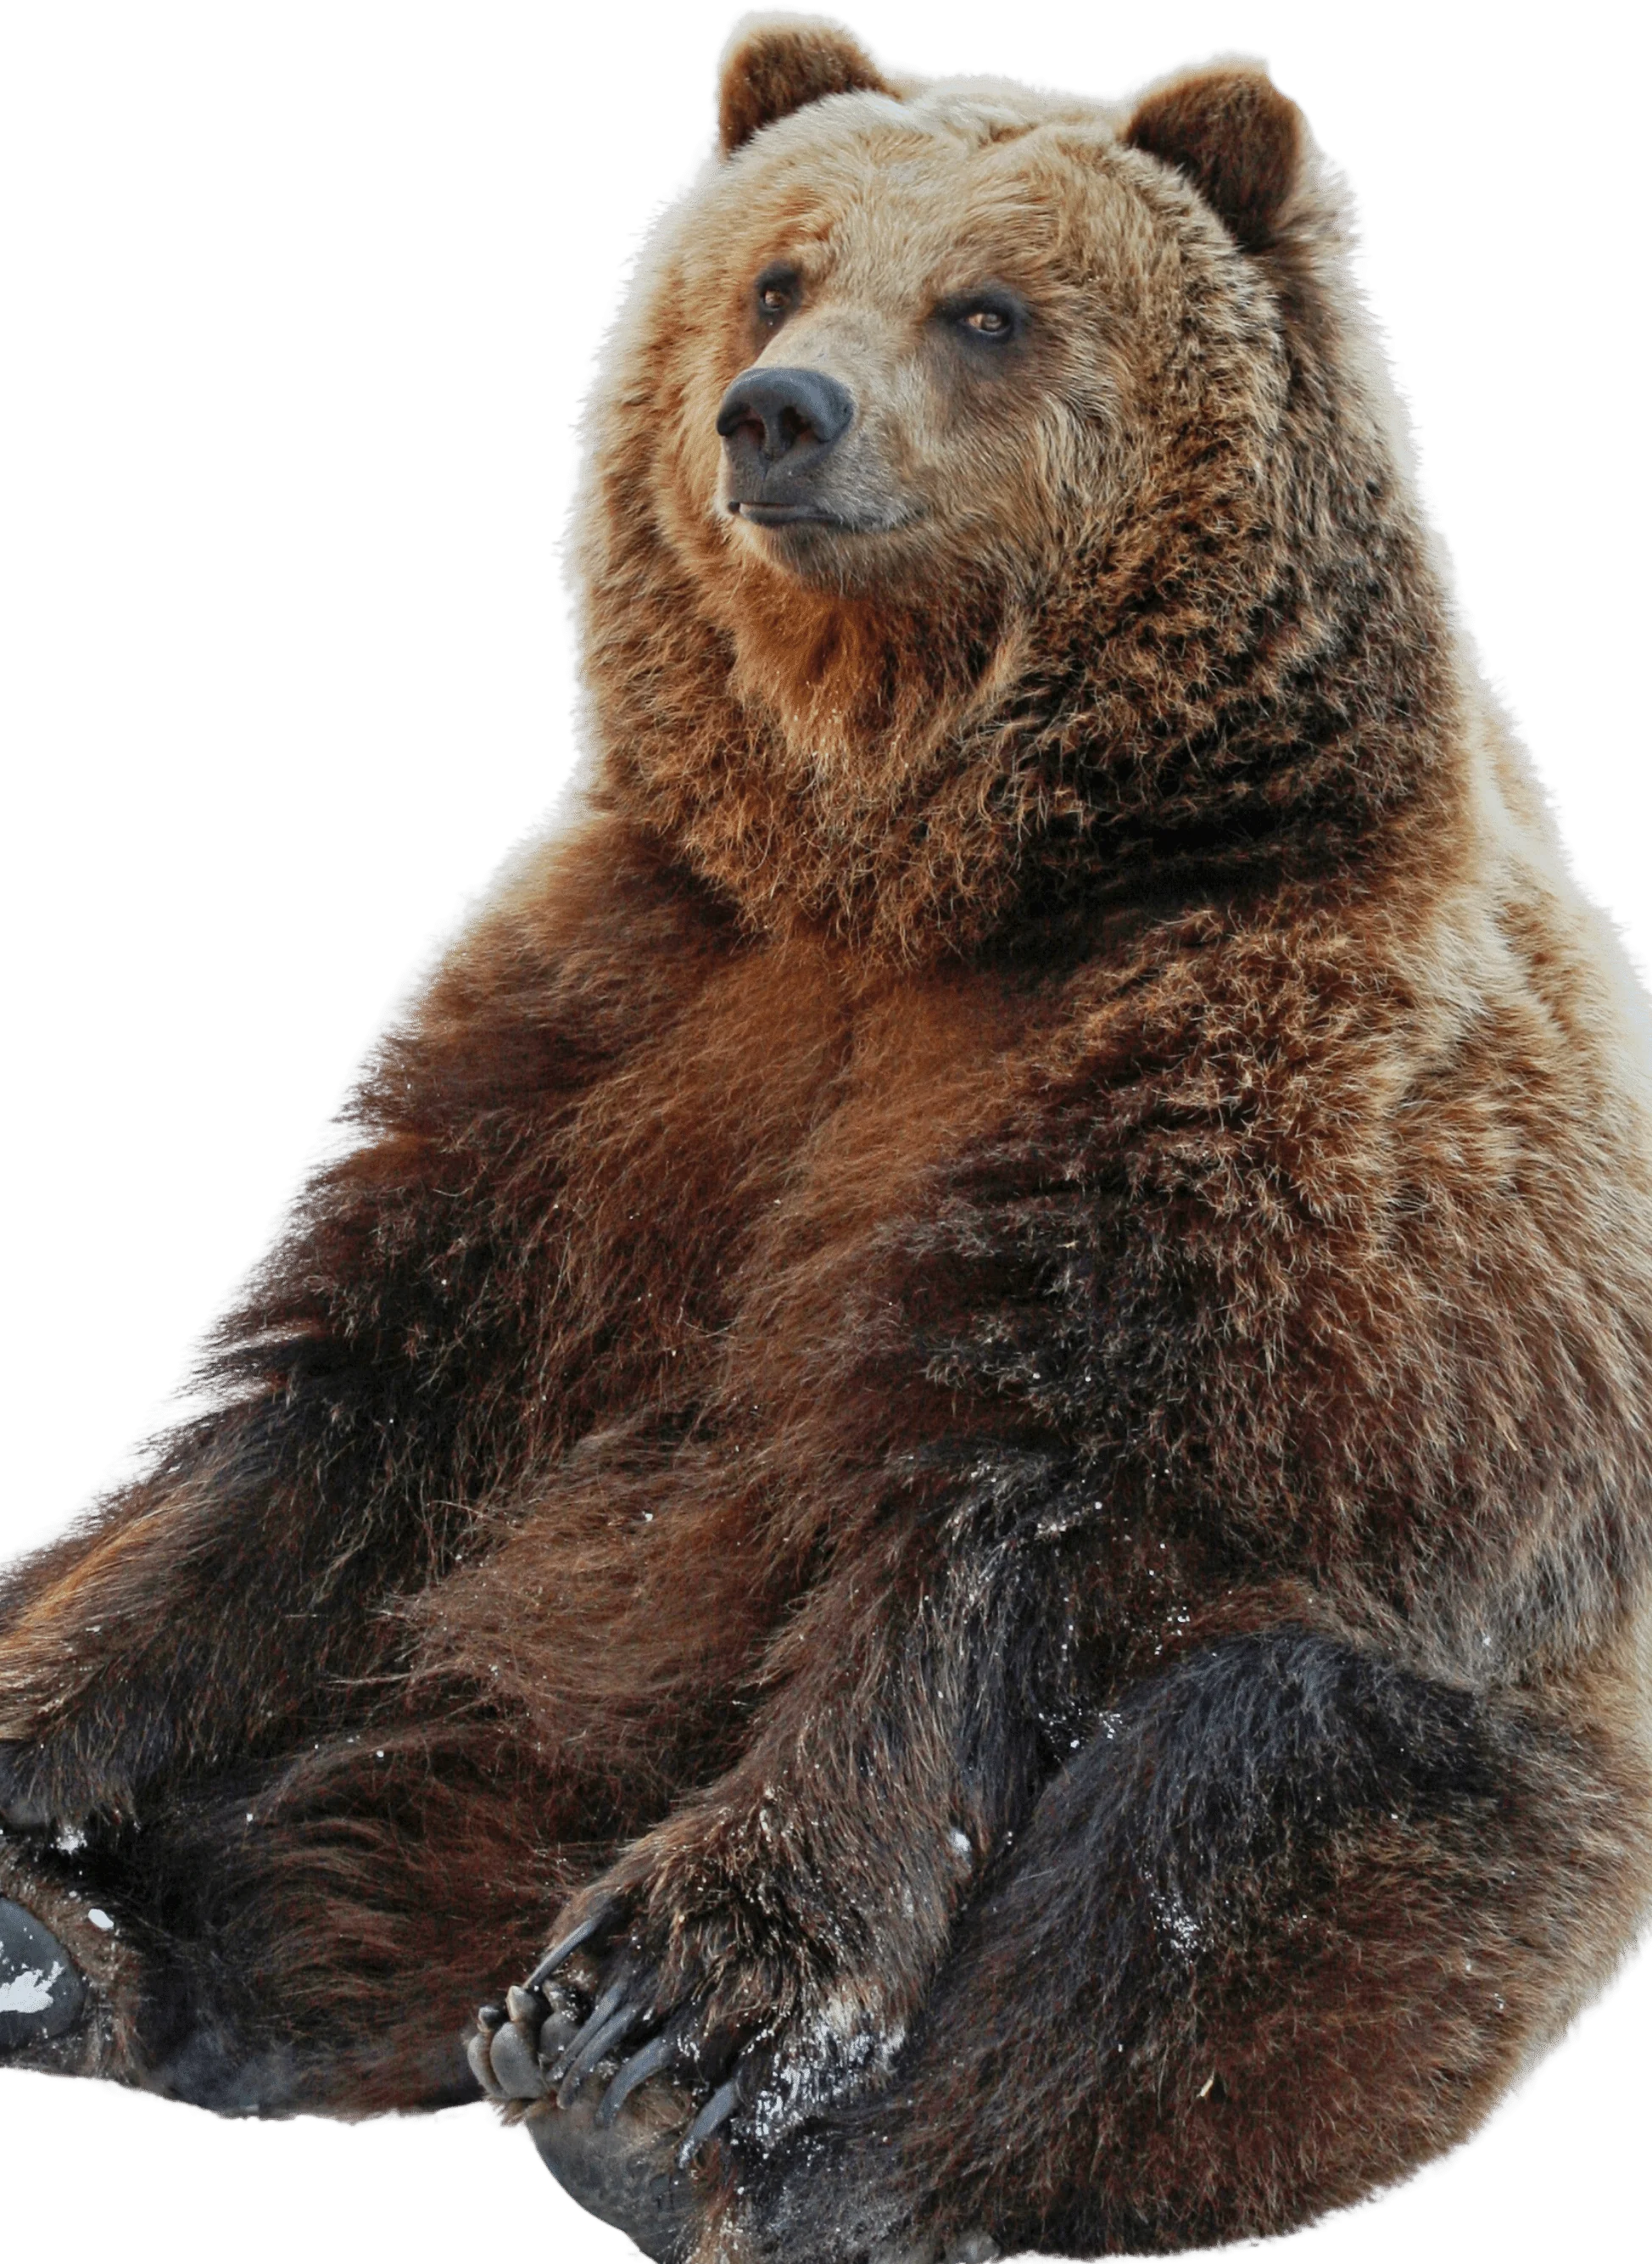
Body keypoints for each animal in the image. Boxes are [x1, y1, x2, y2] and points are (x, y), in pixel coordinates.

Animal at [3, 7, 1651, 2260]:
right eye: (777, 272)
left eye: (988, 307)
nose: (777, 412)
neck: (913, 875)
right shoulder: (627, 1027)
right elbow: (315, 1416)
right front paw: (23, 1736)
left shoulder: (1217, 1085)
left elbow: (989, 1528)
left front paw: (669, 2004)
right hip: (466, 1716)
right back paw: (89, 1954)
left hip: (1529, 1756)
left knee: (1246, 1824)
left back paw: (700, 2133)